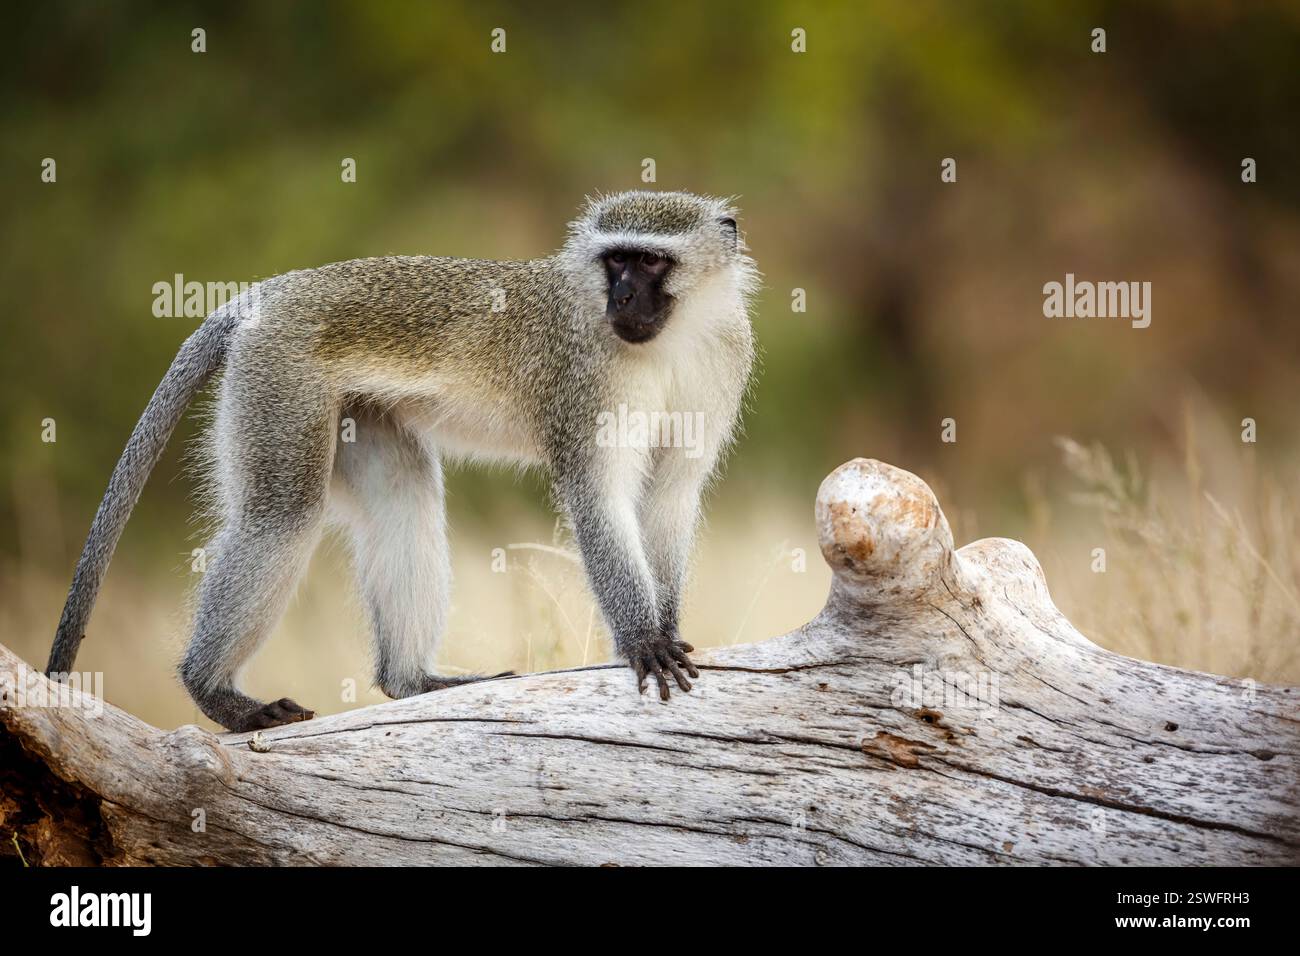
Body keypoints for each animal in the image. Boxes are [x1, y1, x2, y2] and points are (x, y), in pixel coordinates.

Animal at [47, 191, 758, 732]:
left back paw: (412, 681)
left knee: (401, 497)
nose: (623, 301)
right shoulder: (582, 383)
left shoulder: (724, 357)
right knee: (282, 513)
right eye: (615, 262)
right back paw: (215, 693)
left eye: (650, 261)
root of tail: (272, 293)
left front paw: (667, 628)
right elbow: (598, 496)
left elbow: (670, 495)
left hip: (357, 408)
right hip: (278, 377)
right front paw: (643, 641)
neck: (674, 338)